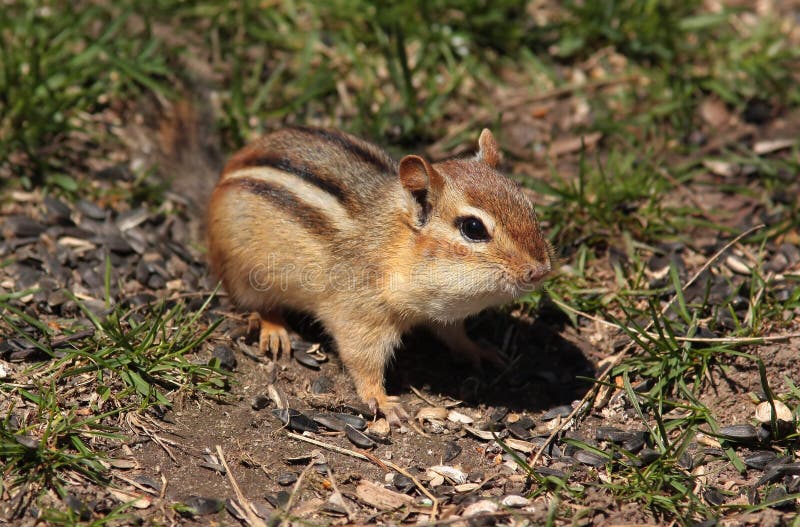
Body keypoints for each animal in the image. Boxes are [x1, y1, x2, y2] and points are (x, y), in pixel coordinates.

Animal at [206, 126, 553, 424]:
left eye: (528, 205)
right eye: (473, 228)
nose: (539, 270)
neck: (393, 244)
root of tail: (224, 174)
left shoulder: (442, 314)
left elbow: (455, 334)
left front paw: (479, 350)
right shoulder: (359, 314)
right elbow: (362, 361)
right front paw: (383, 401)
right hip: (244, 274)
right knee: (260, 304)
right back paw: (275, 330)